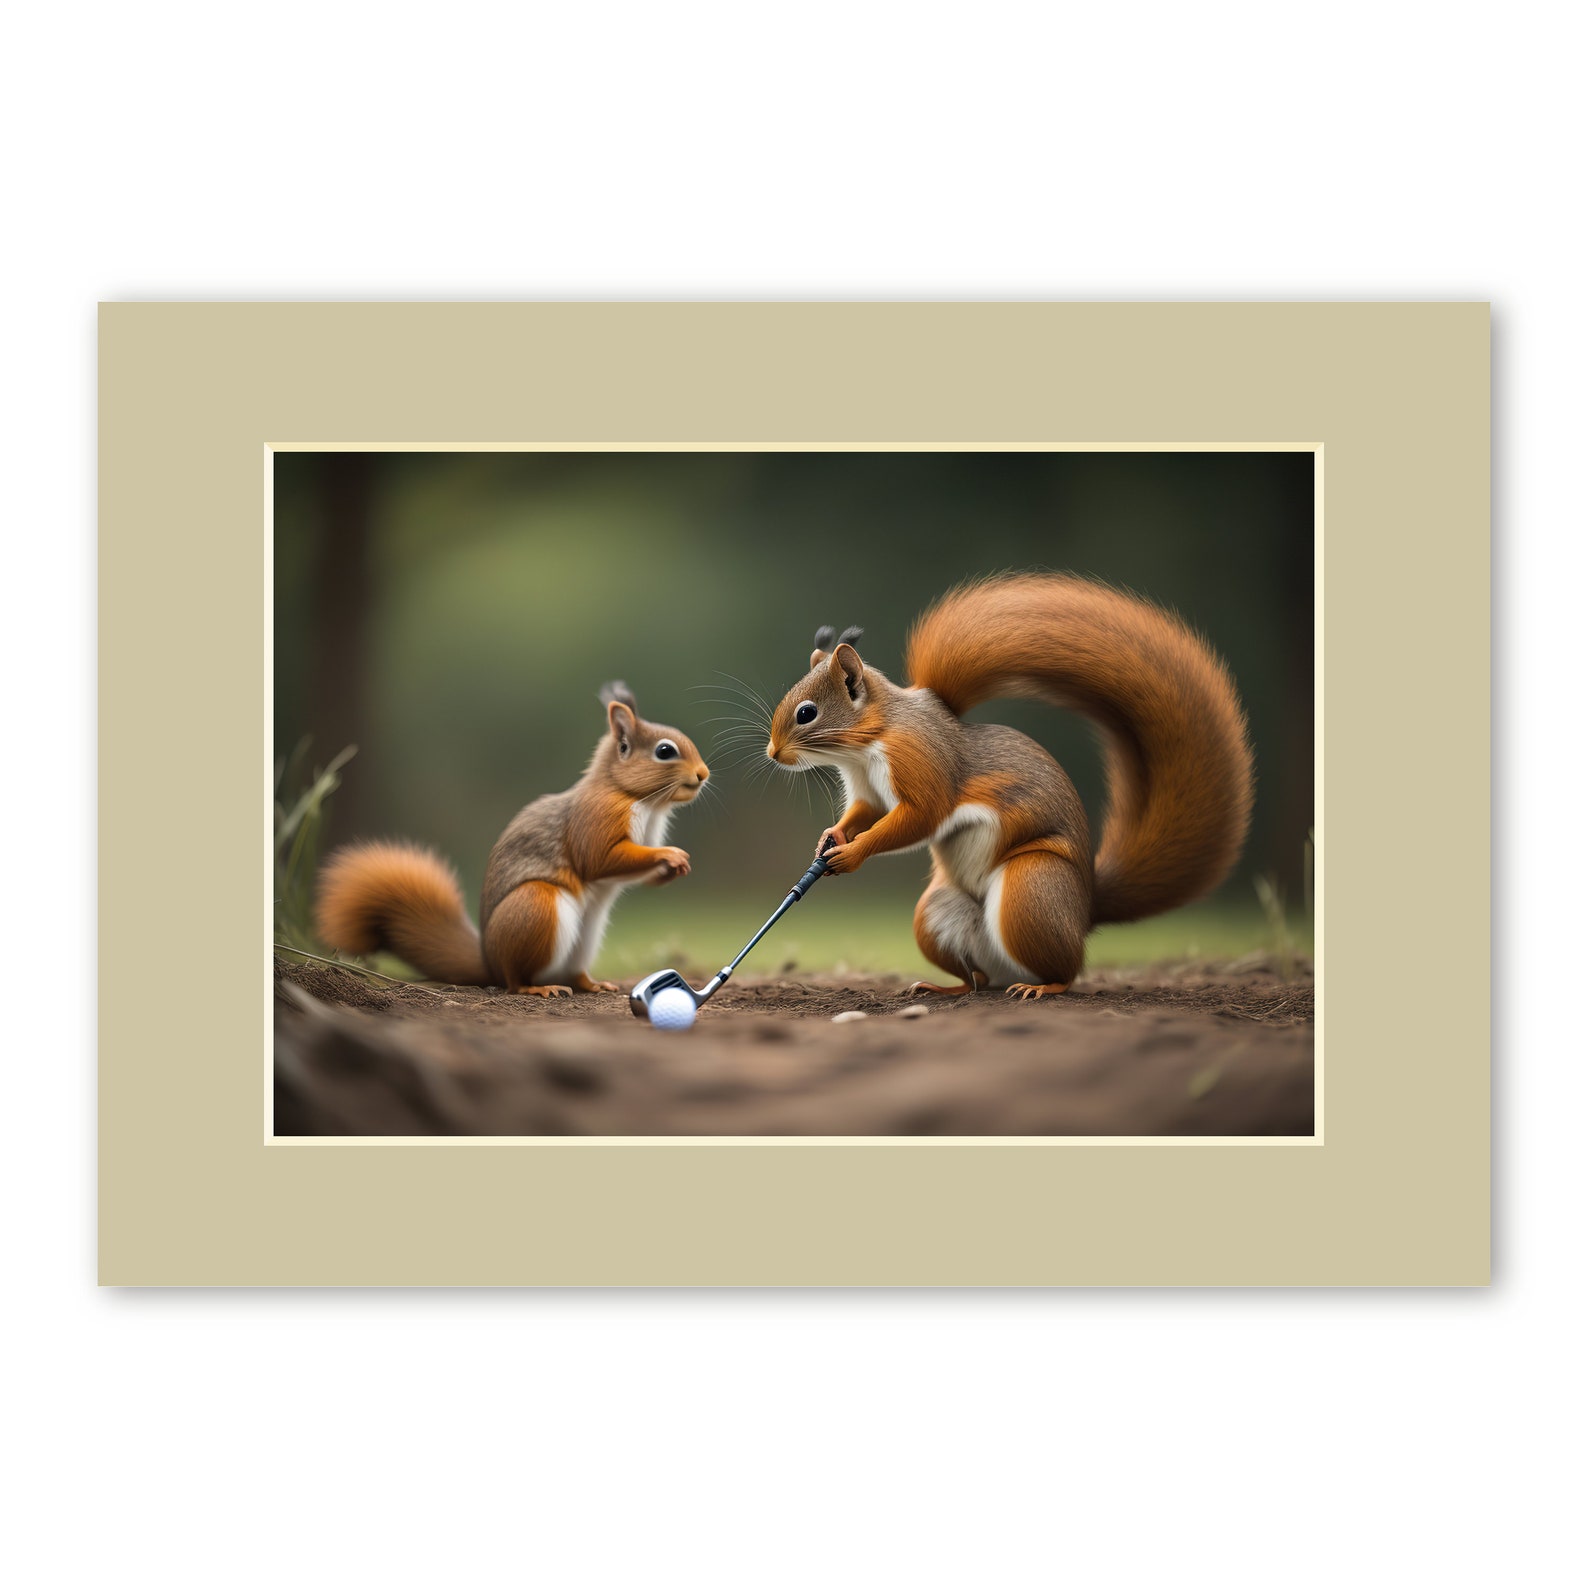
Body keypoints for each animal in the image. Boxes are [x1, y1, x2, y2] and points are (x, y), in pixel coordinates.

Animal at [313, 683, 709, 997]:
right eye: (664, 751)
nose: (704, 774)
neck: (640, 800)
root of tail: (489, 961)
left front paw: (675, 867)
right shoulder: (596, 819)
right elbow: (599, 859)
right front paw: (671, 854)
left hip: (586, 937)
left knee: (573, 972)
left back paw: (593, 983)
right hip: (535, 907)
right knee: (514, 979)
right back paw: (538, 988)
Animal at [765, 574, 1255, 1000]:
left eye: (806, 713)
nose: (773, 753)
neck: (867, 743)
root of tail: (1085, 909)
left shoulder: (919, 762)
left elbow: (921, 816)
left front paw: (851, 853)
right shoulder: (866, 789)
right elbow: (865, 812)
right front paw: (832, 836)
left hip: (1030, 889)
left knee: (1067, 969)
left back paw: (1044, 986)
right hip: (936, 916)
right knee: (978, 978)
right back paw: (947, 987)